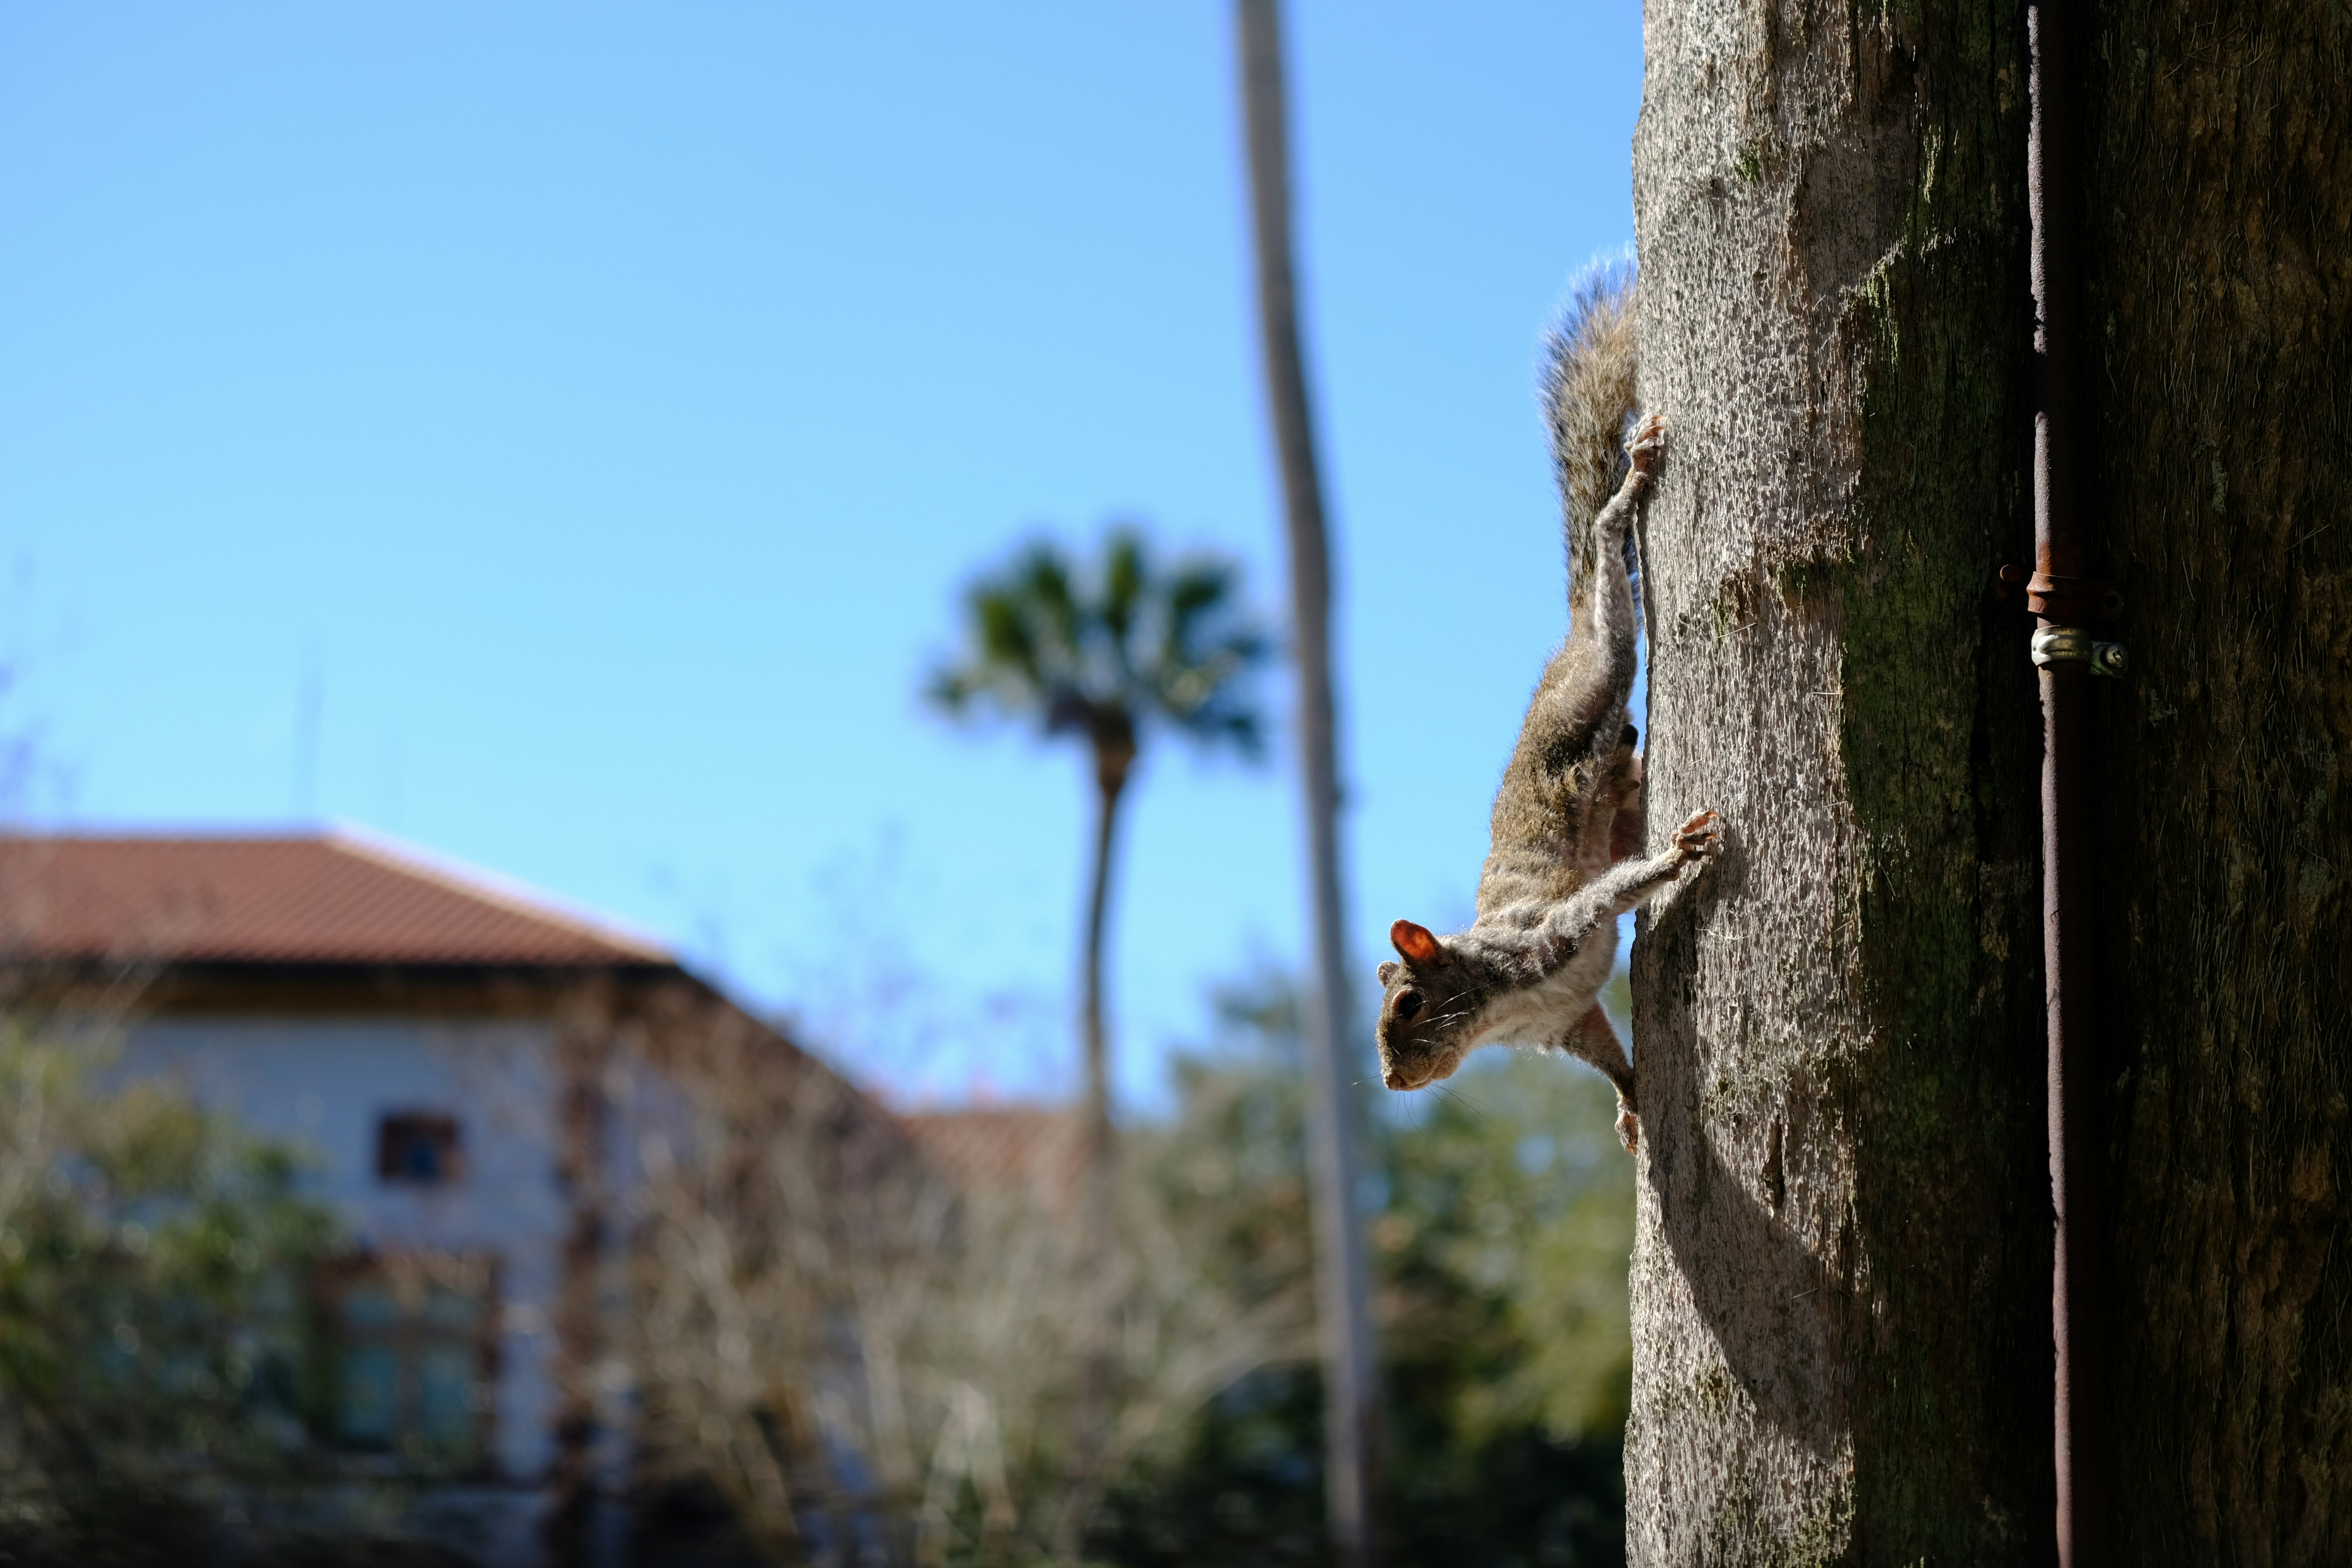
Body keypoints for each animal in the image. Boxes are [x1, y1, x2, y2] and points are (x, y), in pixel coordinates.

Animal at [1375, 265, 1720, 1152]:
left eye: (1408, 1004)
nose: (1391, 1080)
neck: (1499, 1009)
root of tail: (1569, 637)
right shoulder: (1569, 1020)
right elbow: (1607, 1055)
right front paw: (1630, 1106)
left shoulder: (1548, 939)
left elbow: (1611, 895)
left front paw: (1676, 859)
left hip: (1598, 677)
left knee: (1609, 579)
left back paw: (1628, 491)